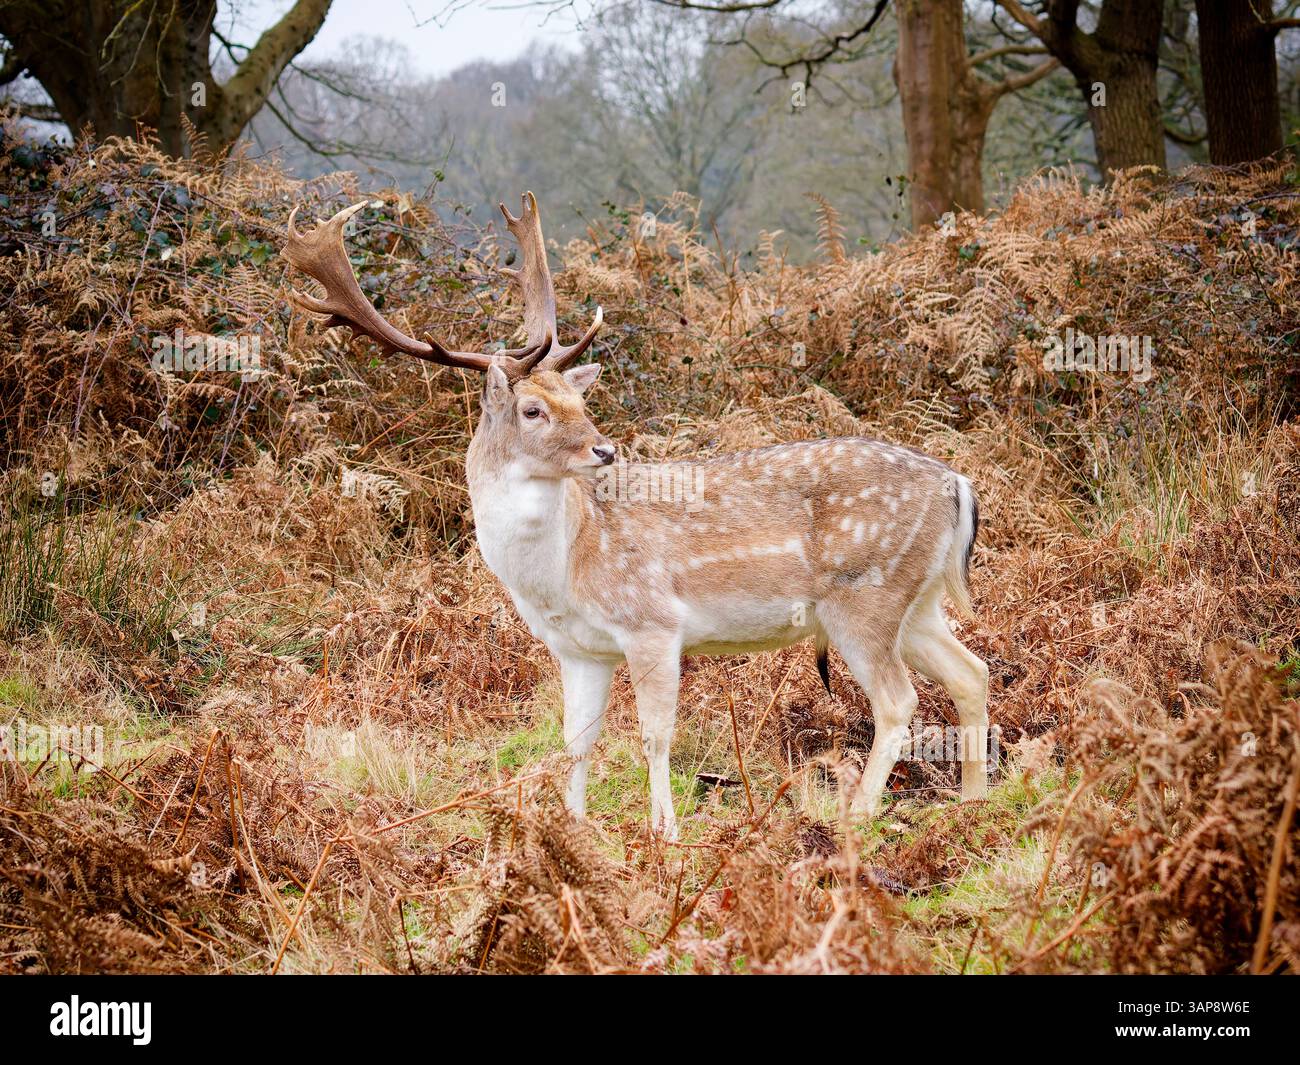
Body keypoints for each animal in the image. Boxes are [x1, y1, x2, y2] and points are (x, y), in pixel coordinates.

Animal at [283, 193, 990, 841]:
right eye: (534, 410)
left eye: (578, 401)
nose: (605, 449)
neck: (564, 570)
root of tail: (957, 483)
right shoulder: (577, 650)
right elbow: (575, 741)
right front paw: (573, 830)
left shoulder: (652, 621)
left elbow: (654, 735)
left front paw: (665, 832)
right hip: (917, 601)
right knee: (971, 671)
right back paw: (973, 803)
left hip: (864, 593)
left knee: (899, 699)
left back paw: (862, 813)